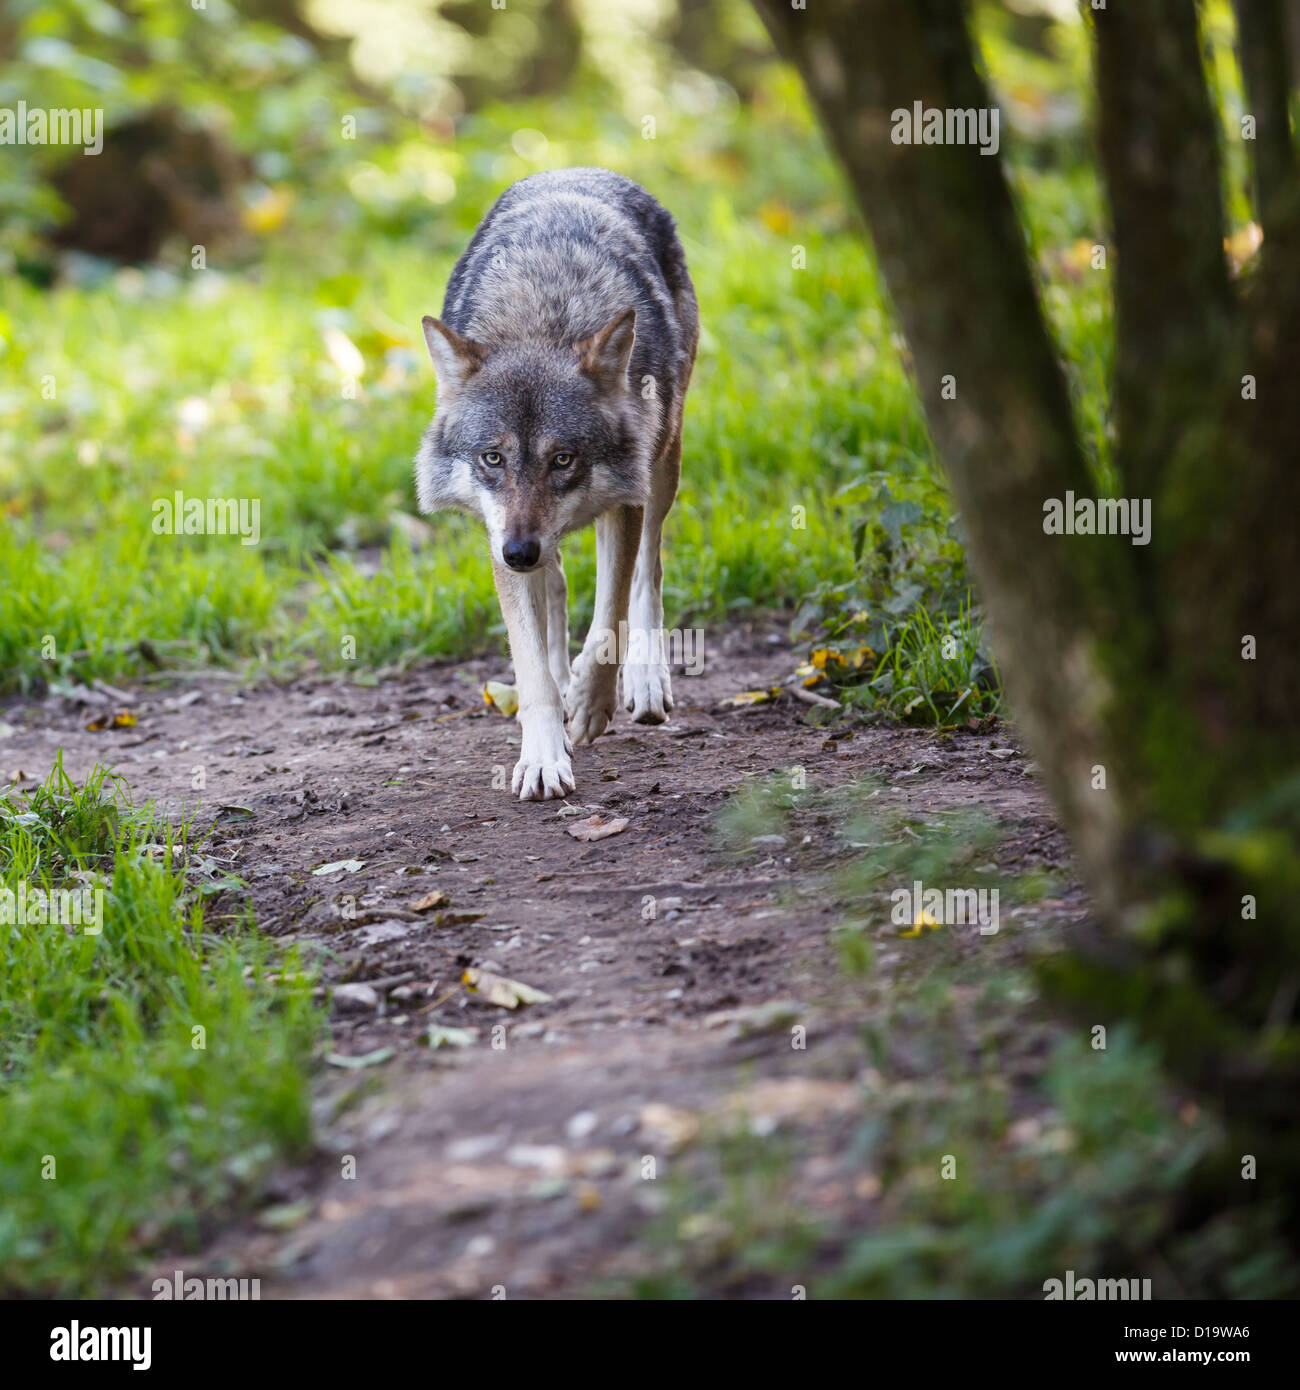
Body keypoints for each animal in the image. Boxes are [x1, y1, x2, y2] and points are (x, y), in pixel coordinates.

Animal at [414, 168, 699, 800]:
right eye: (492, 458)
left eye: (563, 459)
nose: (520, 552)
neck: (542, 317)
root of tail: (577, 169)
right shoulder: (499, 537)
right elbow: (532, 672)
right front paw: (544, 757)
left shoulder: (624, 500)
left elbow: (608, 621)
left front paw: (591, 704)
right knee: (561, 587)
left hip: (662, 465)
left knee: (648, 572)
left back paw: (645, 681)